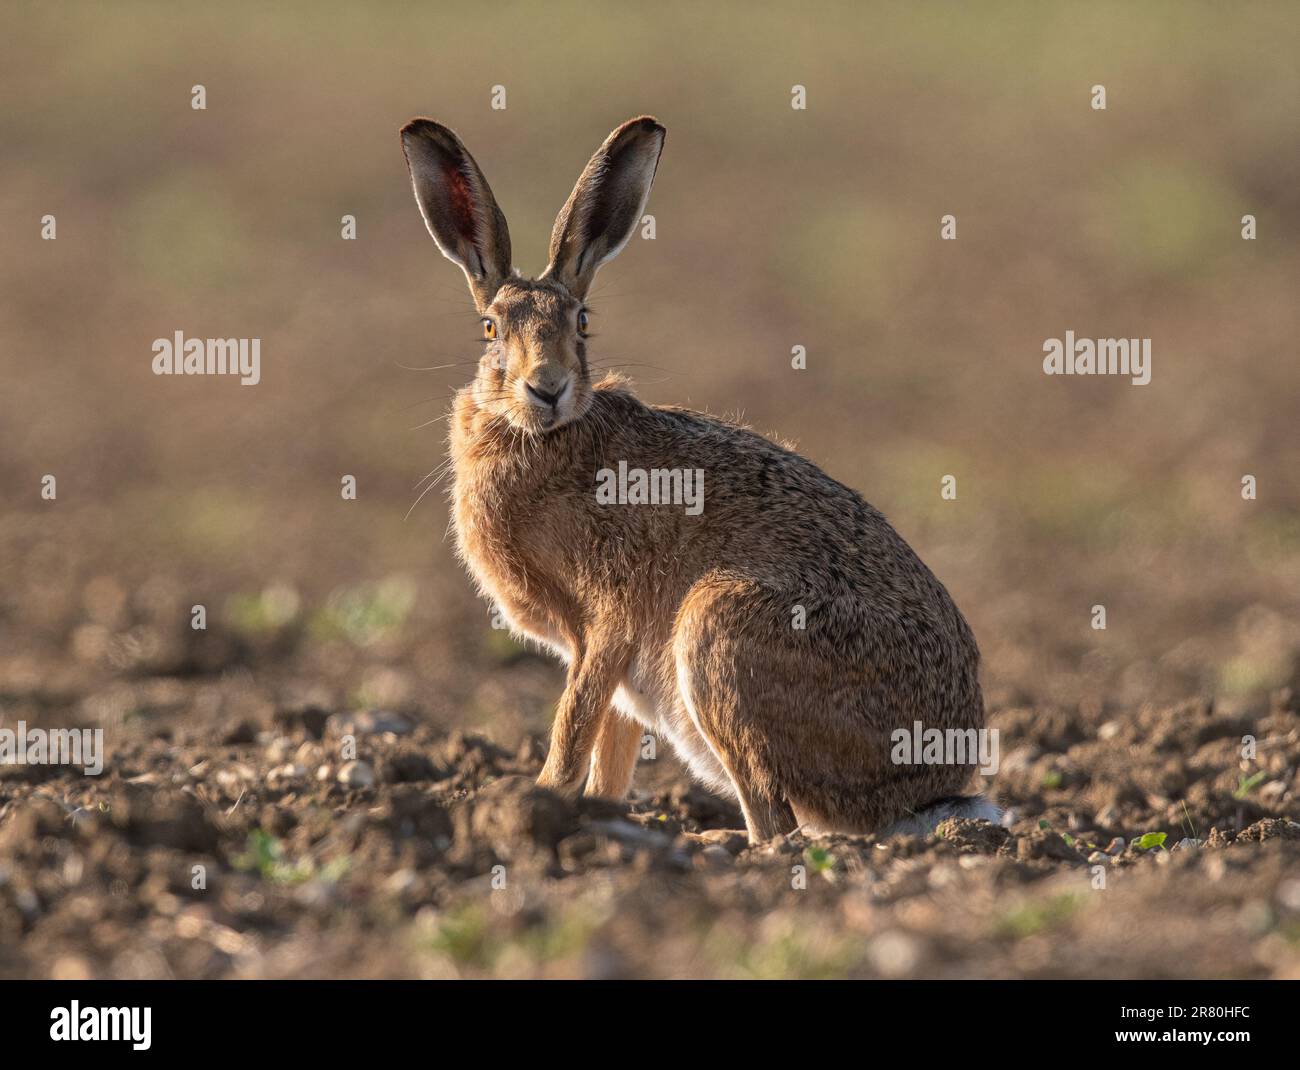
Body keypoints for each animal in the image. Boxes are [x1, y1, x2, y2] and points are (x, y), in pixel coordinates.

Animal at [400, 115, 997, 843]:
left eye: (583, 324)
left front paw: (535, 798)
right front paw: (595, 812)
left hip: (717, 629)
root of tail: (925, 787)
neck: (547, 437)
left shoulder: (607, 623)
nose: (548, 388)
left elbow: (572, 730)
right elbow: (609, 750)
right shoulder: (614, 666)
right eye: (490, 329)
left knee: (776, 825)